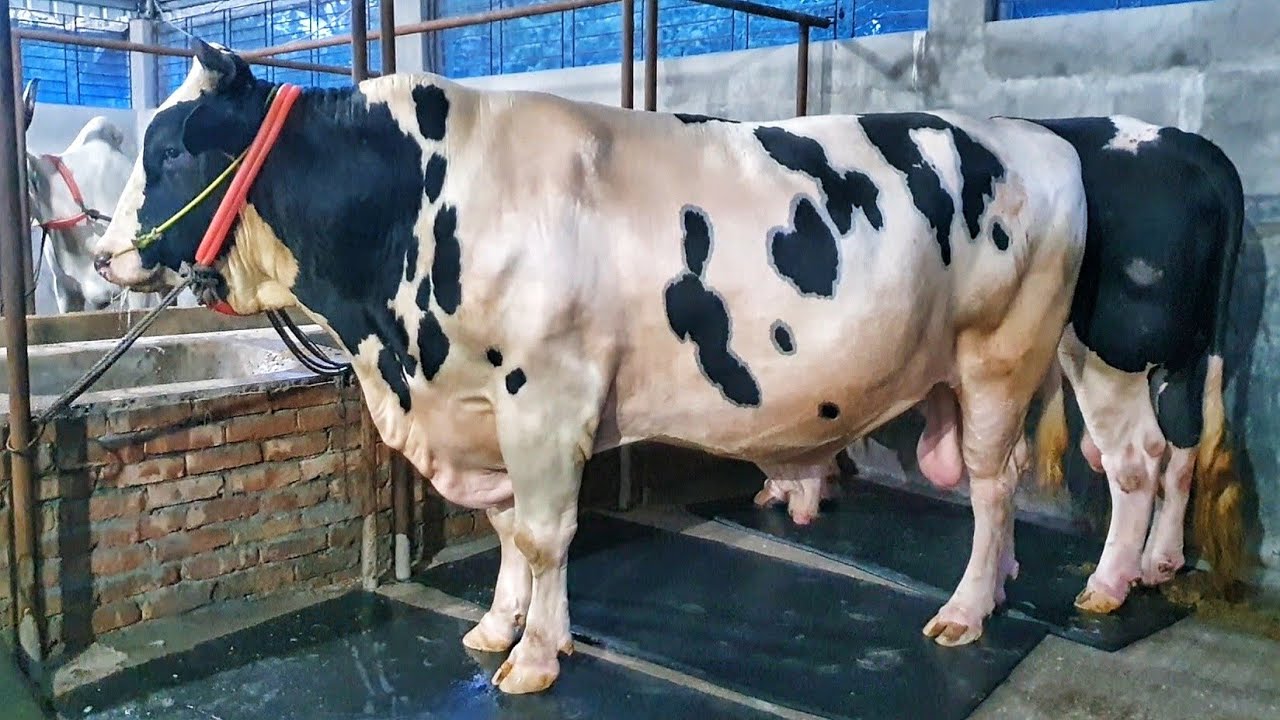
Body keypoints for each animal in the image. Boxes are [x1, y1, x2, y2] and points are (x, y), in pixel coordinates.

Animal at [92, 41, 1086, 694]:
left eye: (172, 147)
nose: (104, 258)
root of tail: (1040, 138)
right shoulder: (480, 408)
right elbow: (503, 532)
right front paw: (498, 628)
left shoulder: (547, 397)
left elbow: (543, 535)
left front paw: (536, 658)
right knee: (995, 485)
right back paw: (998, 586)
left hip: (1001, 356)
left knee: (995, 487)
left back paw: (967, 609)